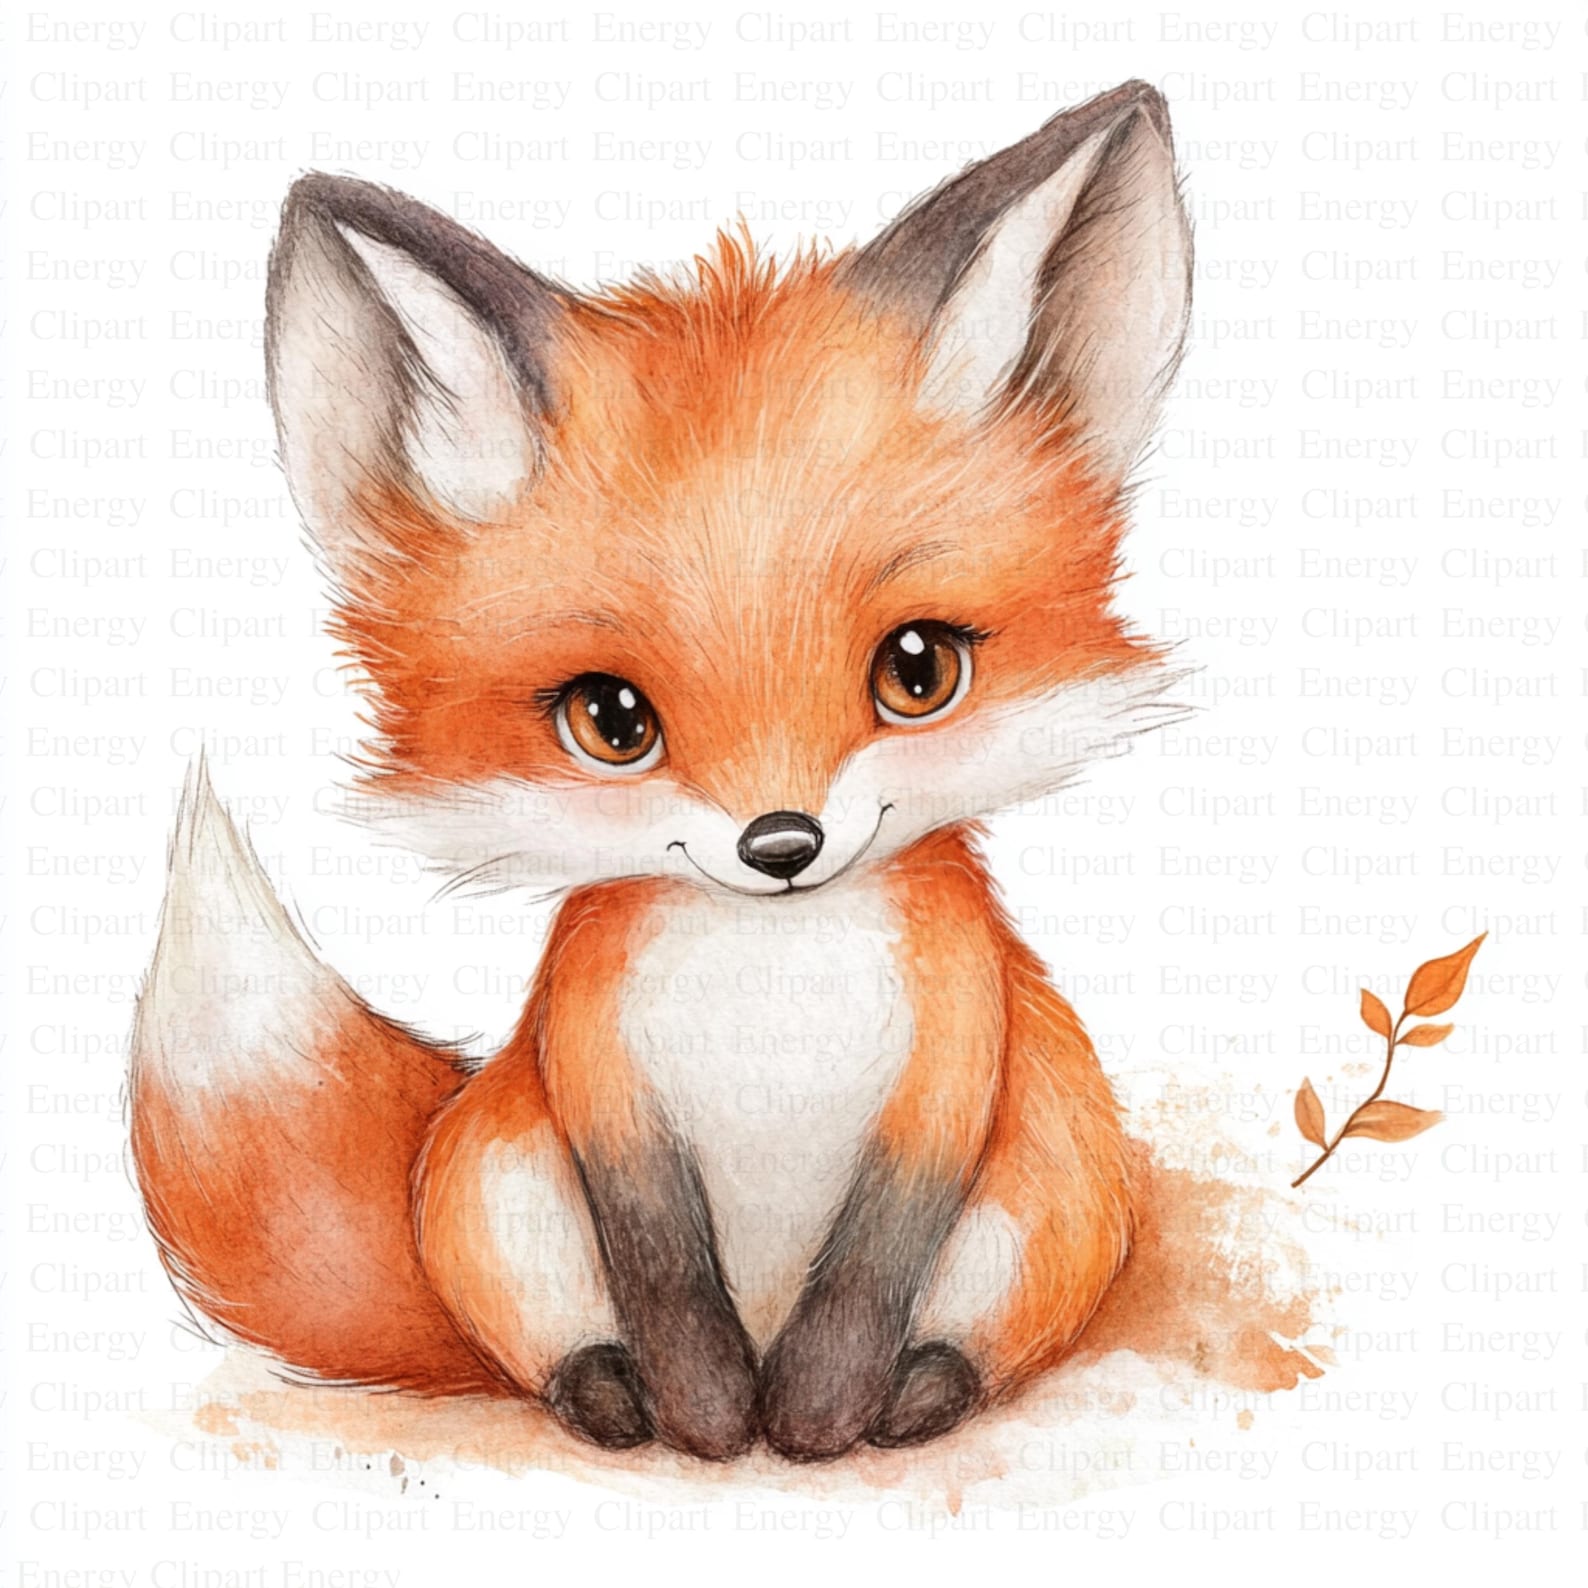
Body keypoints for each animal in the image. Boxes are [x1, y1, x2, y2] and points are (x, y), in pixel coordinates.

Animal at [129, 81, 1191, 1463]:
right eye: (612, 719)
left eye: (917, 671)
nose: (782, 843)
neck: (769, 987)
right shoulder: (597, 1067)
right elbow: (661, 1263)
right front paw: (708, 1413)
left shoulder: (954, 1051)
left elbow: (872, 1261)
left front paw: (813, 1414)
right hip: (502, 1189)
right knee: (554, 1345)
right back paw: (609, 1399)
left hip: (1035, 1208)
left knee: (968, 1339)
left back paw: (914, 1399)